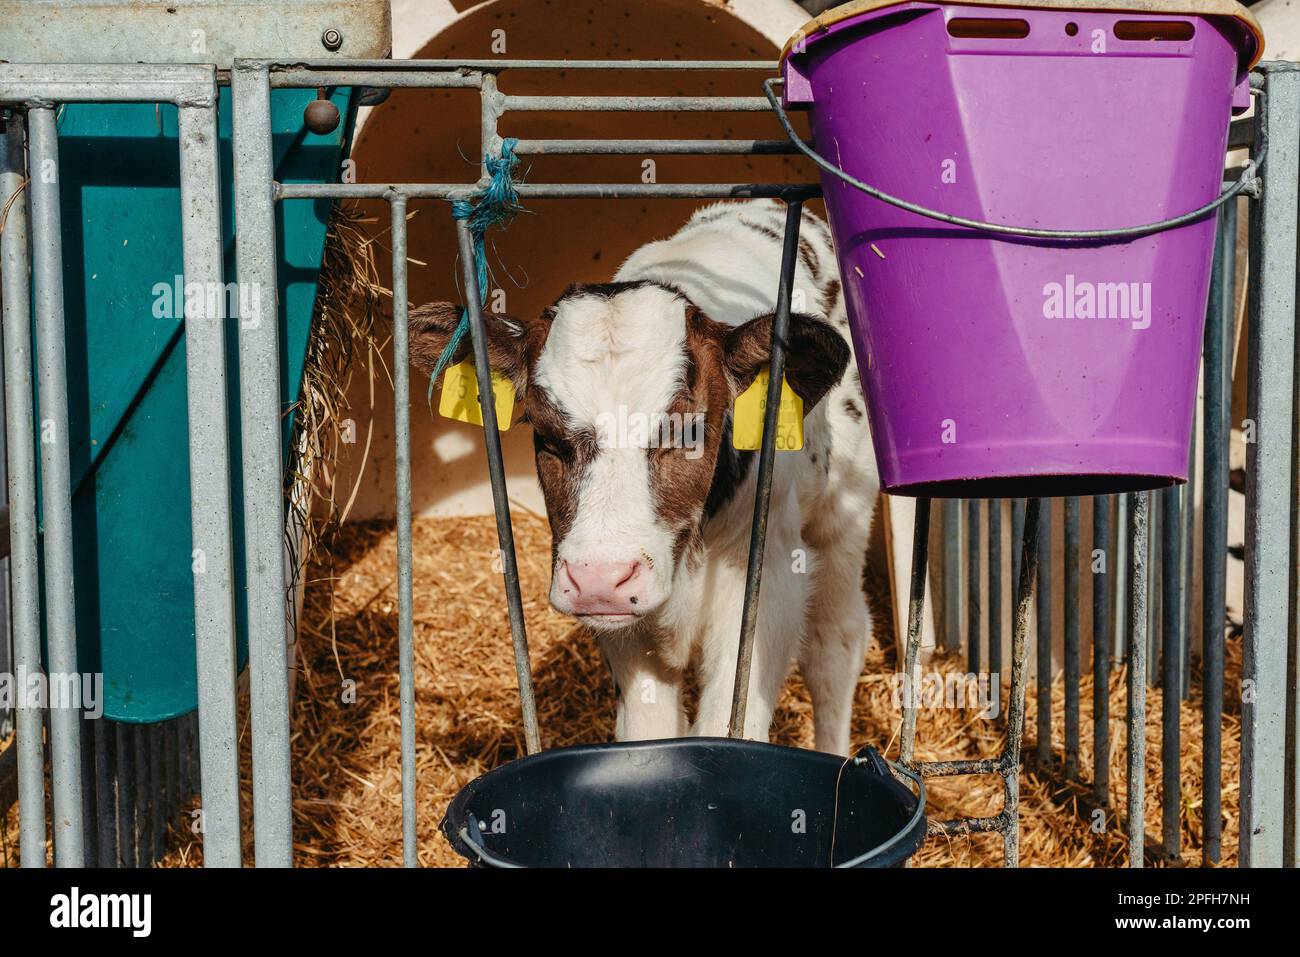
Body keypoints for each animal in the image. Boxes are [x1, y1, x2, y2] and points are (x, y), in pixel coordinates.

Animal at [408, 199, 879, 754]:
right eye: (545, 435)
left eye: (690, 430)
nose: (598, 581)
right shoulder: (627, 629)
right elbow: (648, 732)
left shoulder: (767, 587)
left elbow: (733, 722)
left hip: (844, 515)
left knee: (837, 643)